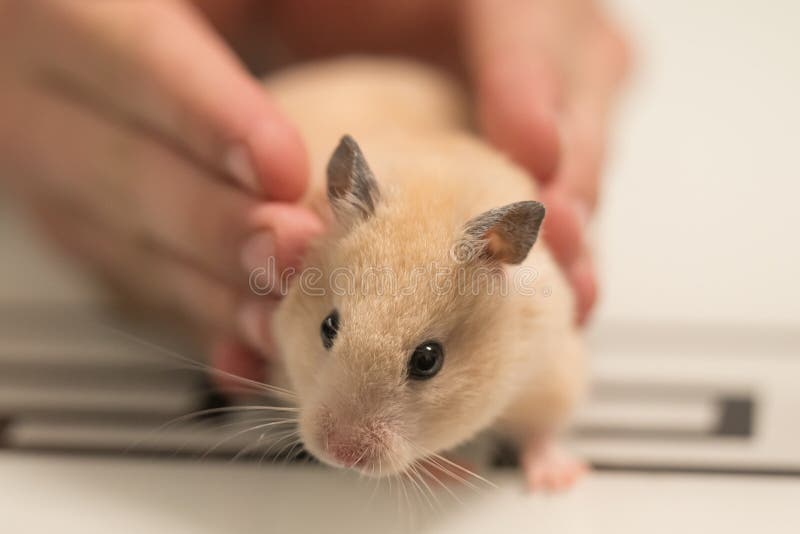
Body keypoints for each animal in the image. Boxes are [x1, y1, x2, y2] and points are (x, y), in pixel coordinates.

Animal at [265, 58, 586, 491]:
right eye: (327, 327)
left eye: (428, 360)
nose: (342, 455)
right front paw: (455, 471)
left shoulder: (553, 367)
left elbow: (543, 430)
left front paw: (557, 482)